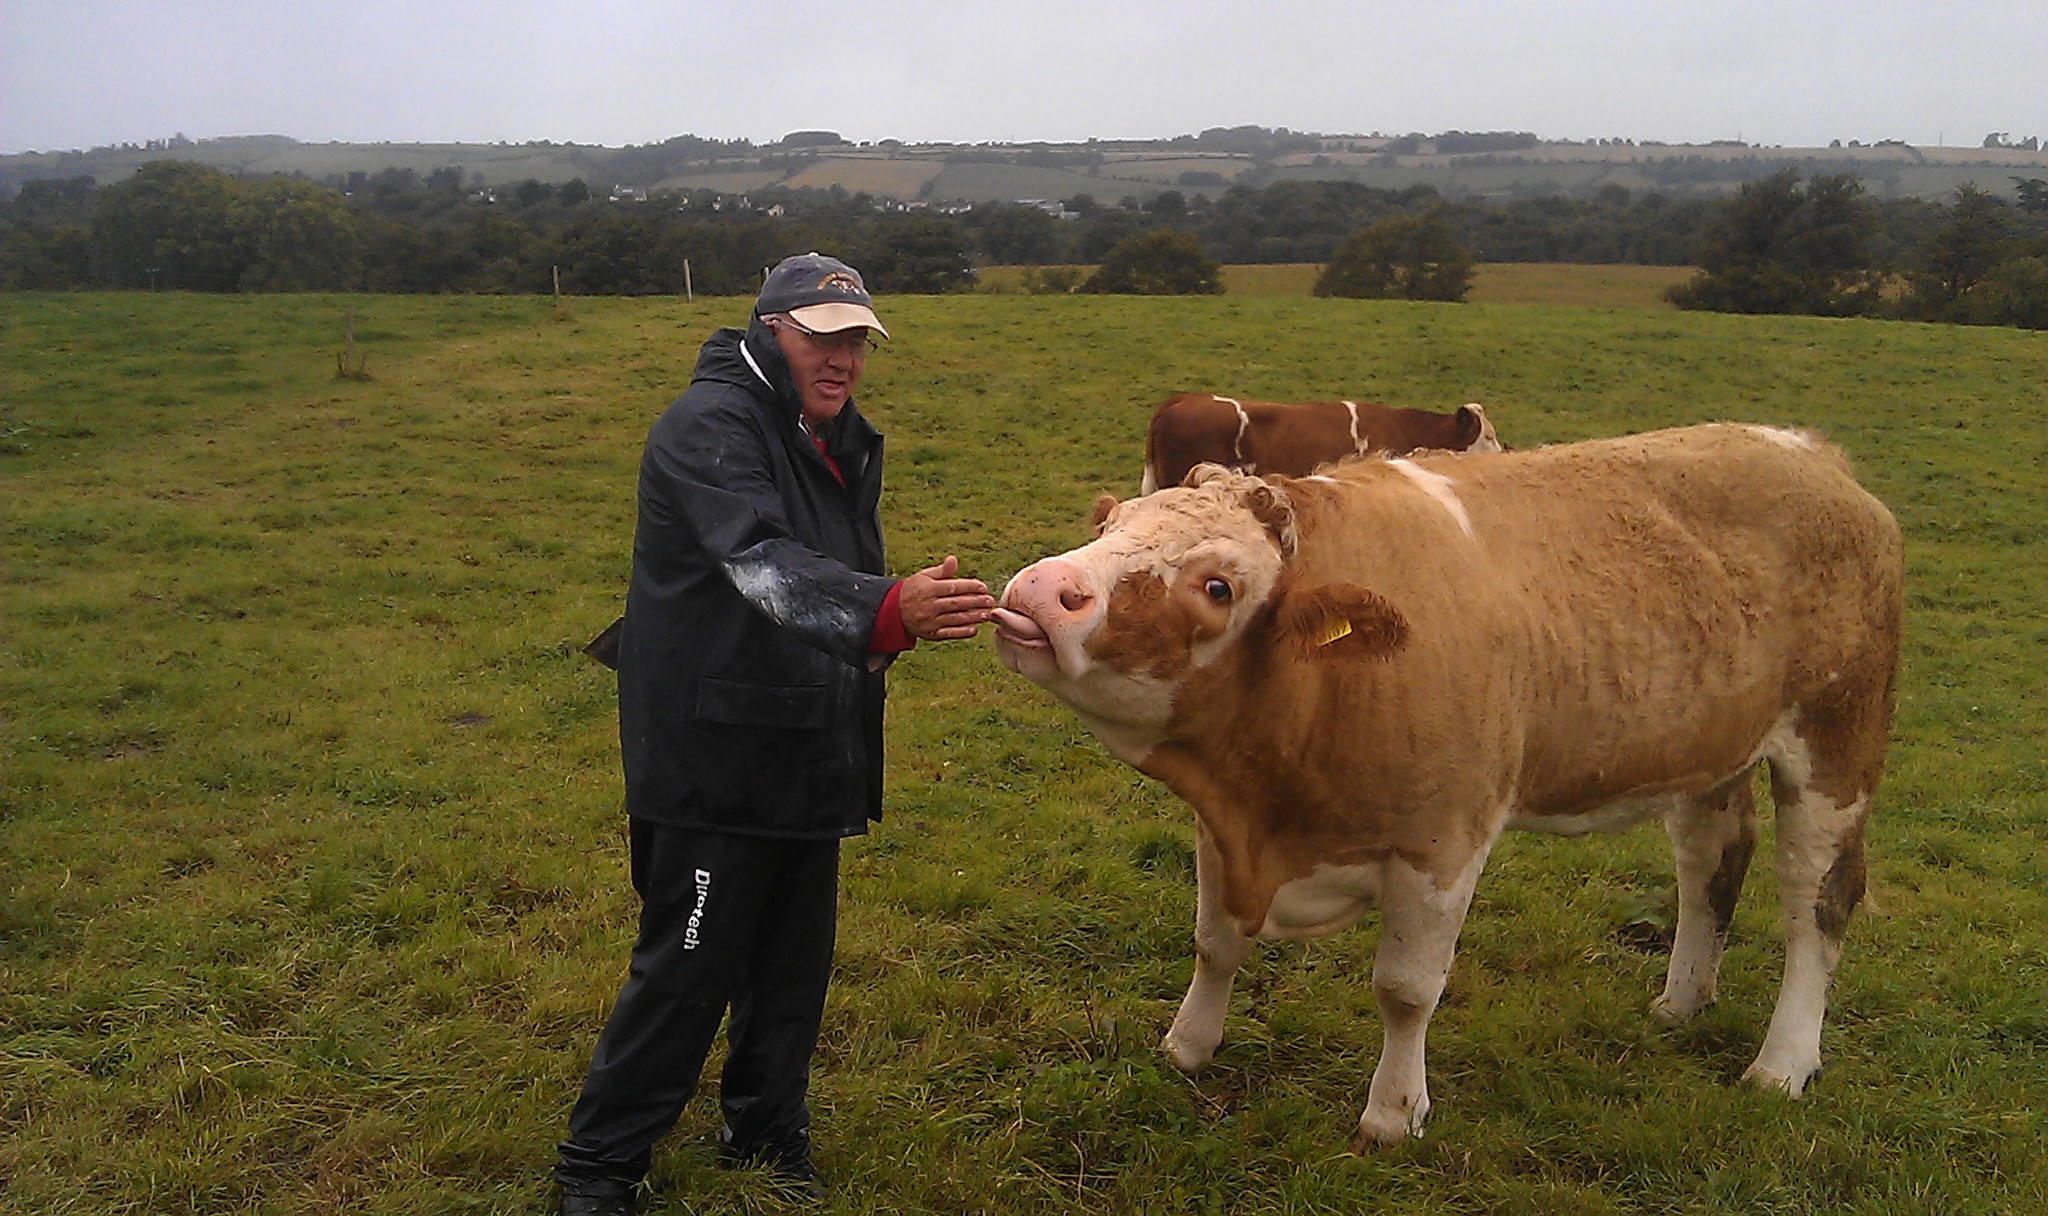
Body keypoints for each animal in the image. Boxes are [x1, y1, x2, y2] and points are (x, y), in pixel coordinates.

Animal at [990, 424, 1903, 1151]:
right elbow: (1215, 942)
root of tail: (1811, 453)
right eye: (1111, 525)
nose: (1039, 590)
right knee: (1710, 862)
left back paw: (1784, 1063)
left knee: (1817, 898)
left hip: (1836, 743)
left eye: (1218, 586)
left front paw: (1394, 1113)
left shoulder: (1442, 841)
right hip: (1709, 749)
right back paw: (1682, 1001)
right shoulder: (1222, 827)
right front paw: (1189, 1046)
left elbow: (1404, 991)